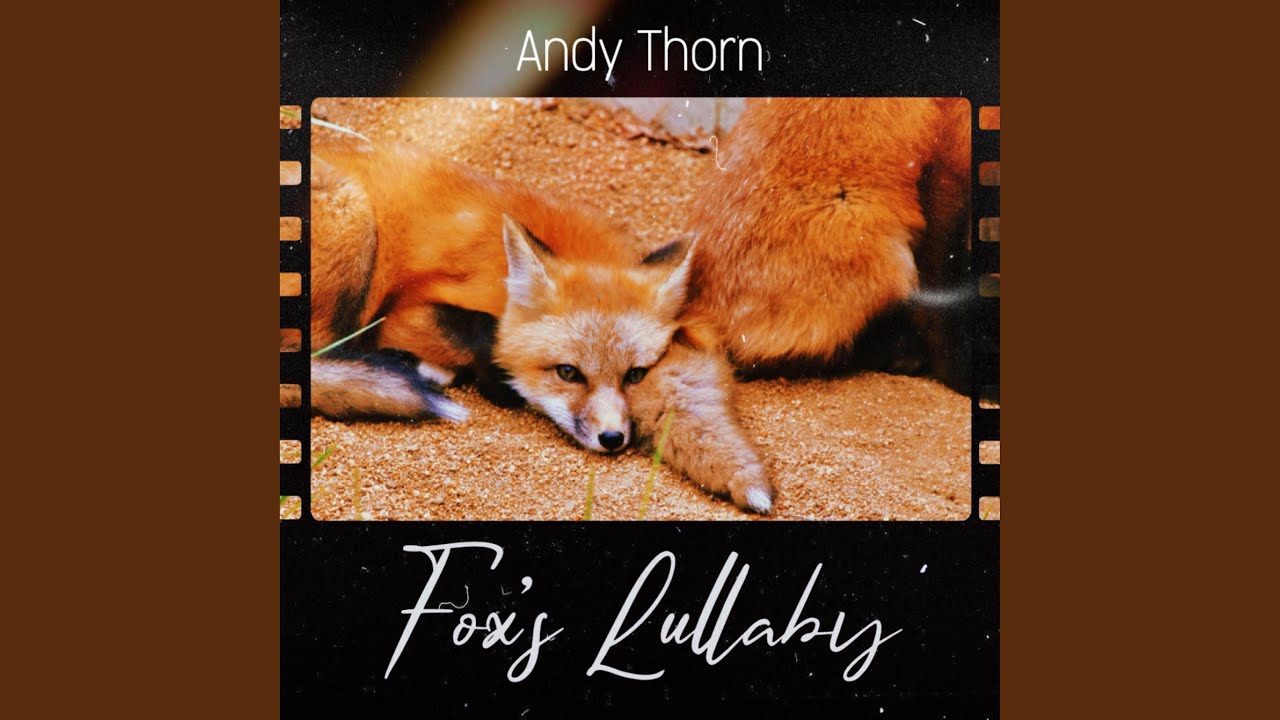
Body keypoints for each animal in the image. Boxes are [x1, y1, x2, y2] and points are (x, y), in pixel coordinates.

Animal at [310, 140, 775, 513]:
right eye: (568, 373)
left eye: (634, 375)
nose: (612, 438)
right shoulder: (404, 313)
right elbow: (486, 333)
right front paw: (493, 379)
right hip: (355, 220)